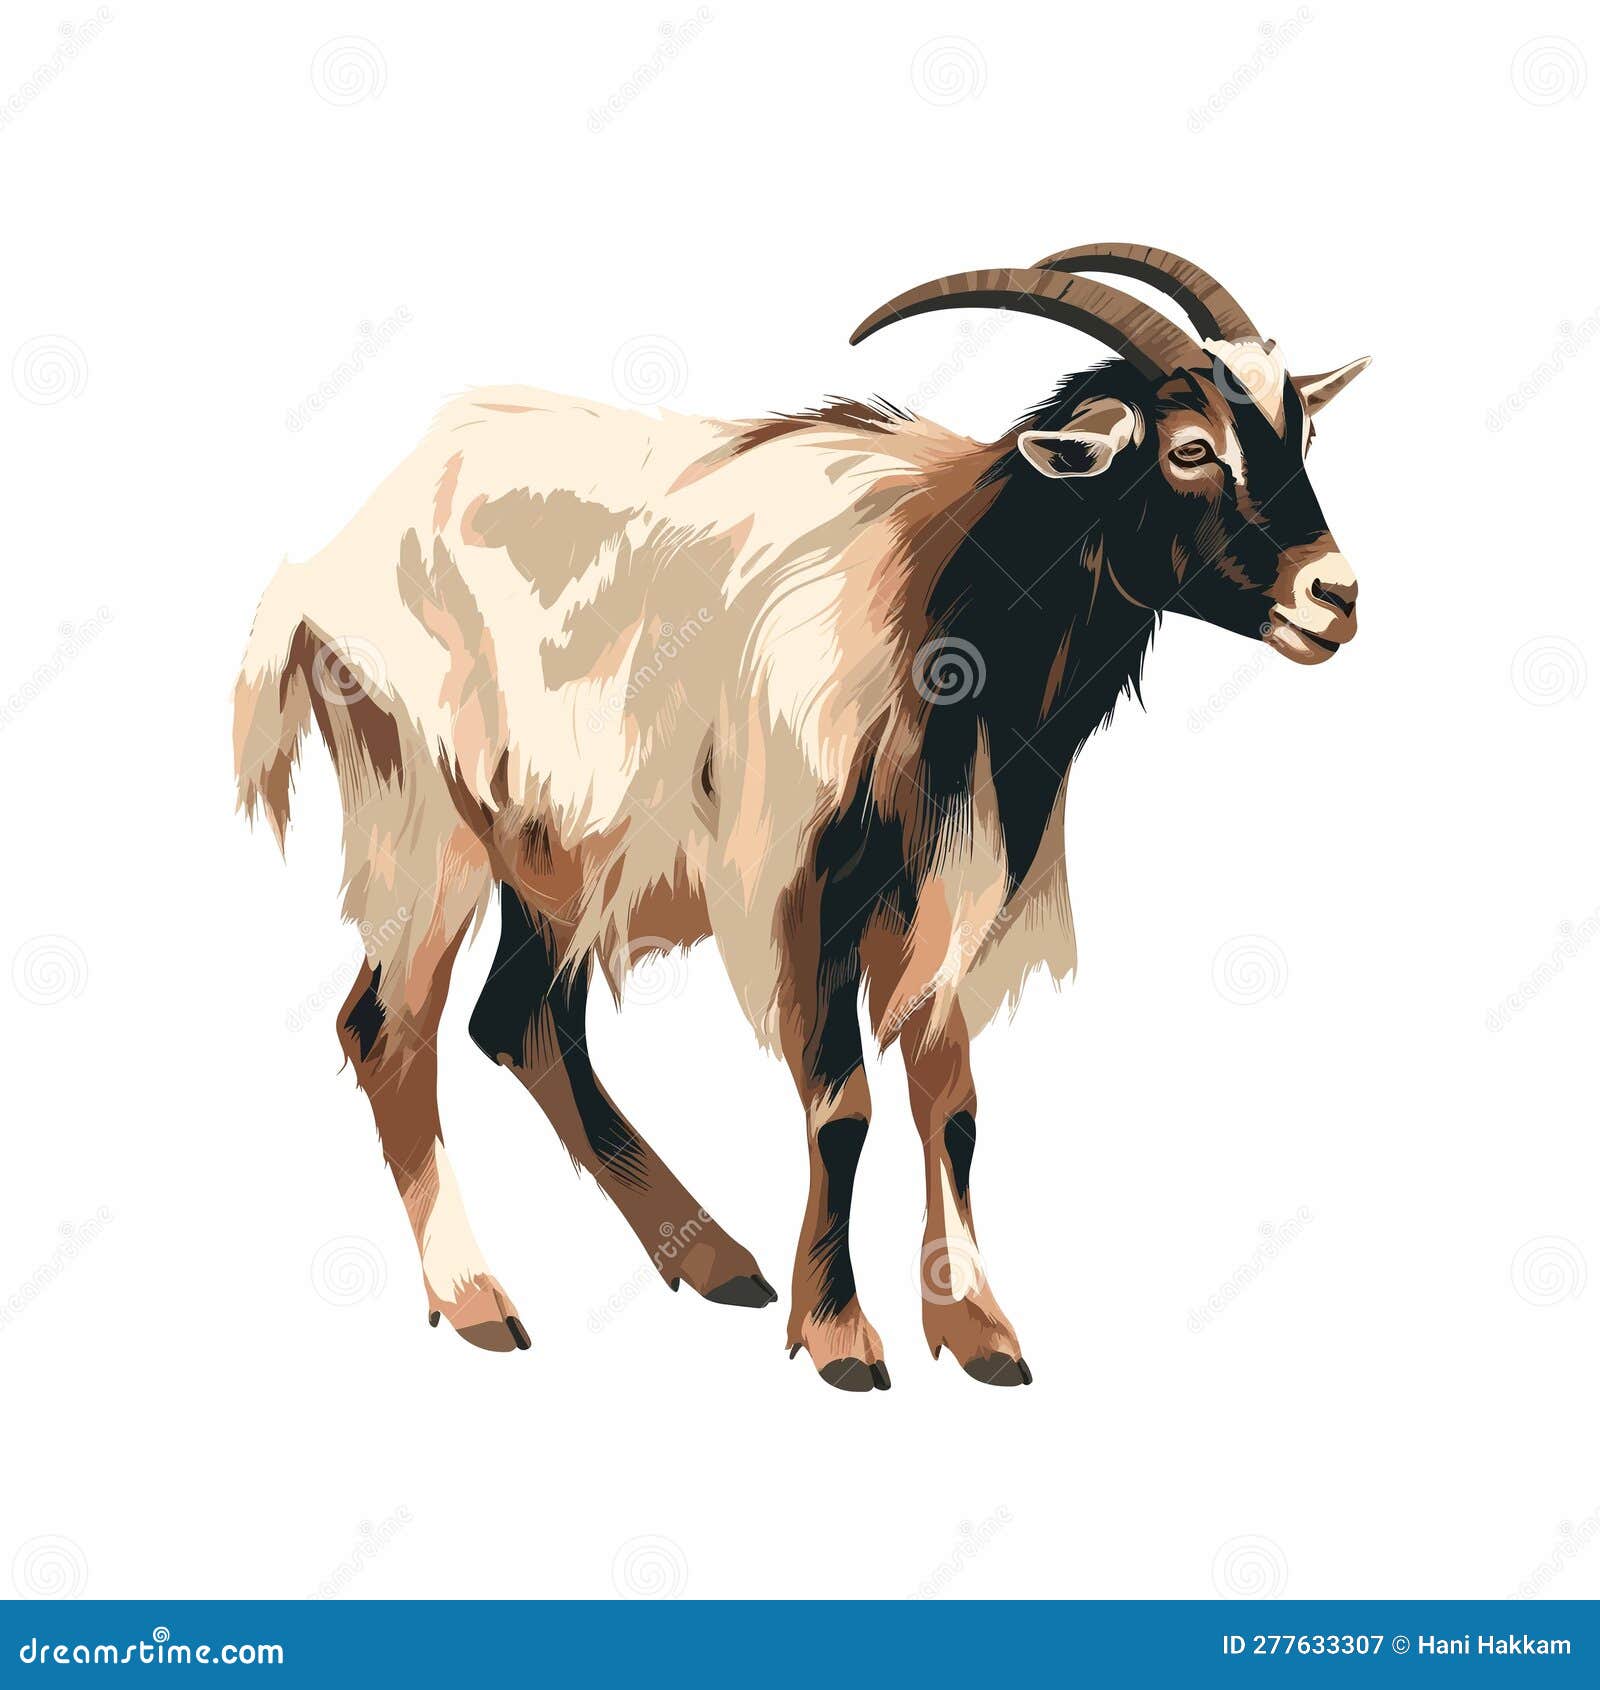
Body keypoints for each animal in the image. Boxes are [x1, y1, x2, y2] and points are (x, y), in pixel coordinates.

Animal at [234, 242, 1369, 1390]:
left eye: (1302, 433)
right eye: (1190, 449)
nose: (1335, 597)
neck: (941, 595)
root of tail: (321, 573)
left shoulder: (941, 895)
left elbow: (950, 1103)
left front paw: (977, 1328)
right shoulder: (804, 887)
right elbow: (842, 1107)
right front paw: (839, 1336)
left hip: (553, 852)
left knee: (520, 1021)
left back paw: (710, 1257)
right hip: (431, 816)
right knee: (390, 1026)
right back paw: (477, 1299)